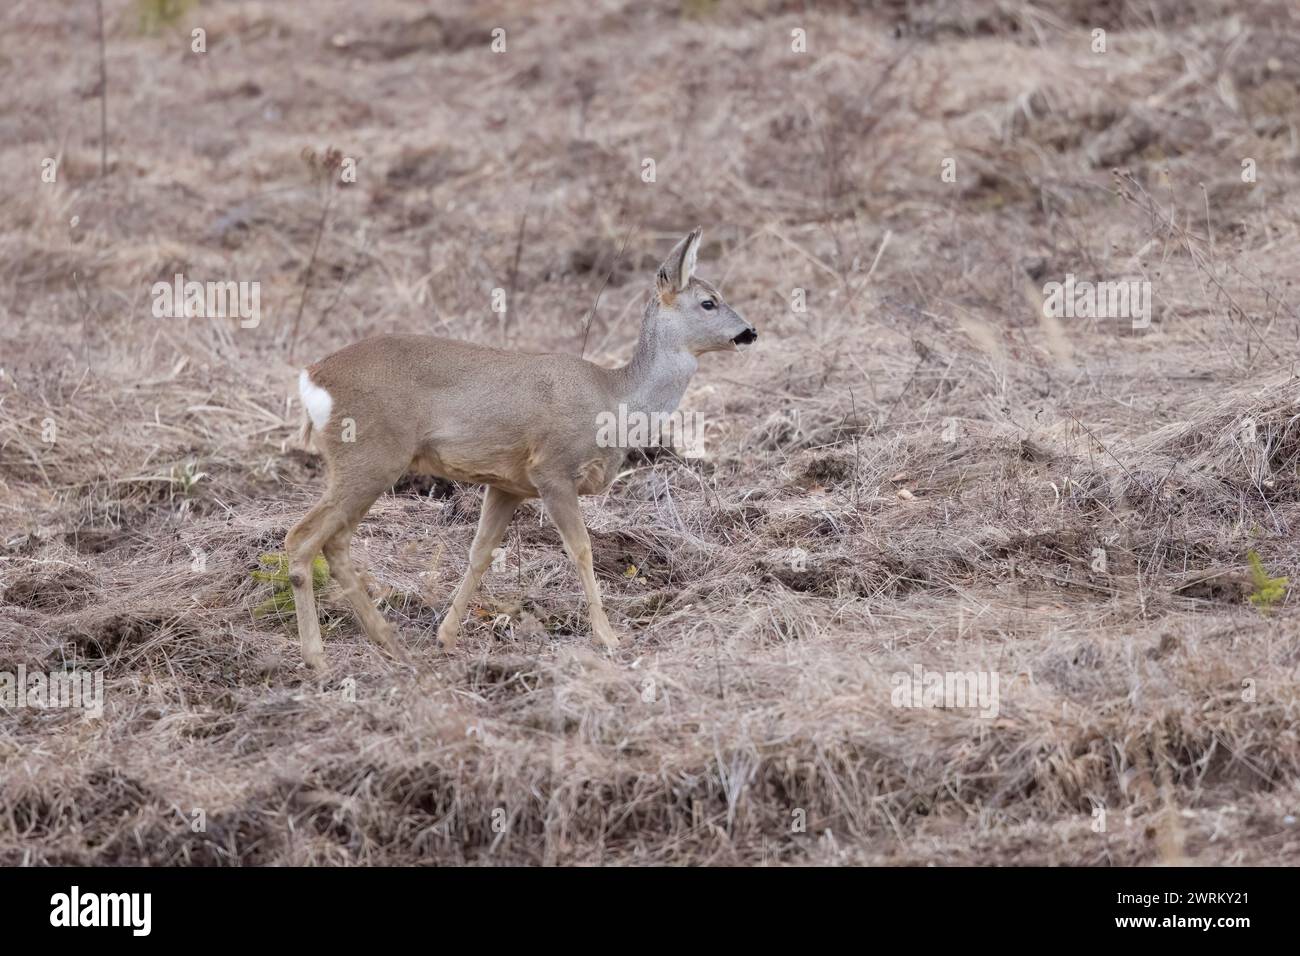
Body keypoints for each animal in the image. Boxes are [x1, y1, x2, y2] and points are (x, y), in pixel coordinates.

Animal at [286, 228, 757, 670]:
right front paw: (608, 637)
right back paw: (318, 658)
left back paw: (391, 643)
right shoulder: (553, 469)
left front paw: (446, 636)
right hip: (371, 454)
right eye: (709, 302)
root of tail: (312, 378)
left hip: (365, 463)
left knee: (335, 543)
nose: (749, 332)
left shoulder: (507, 484)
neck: (614, 400)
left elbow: (480, 553)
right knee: (303, 537)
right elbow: (581, 549)